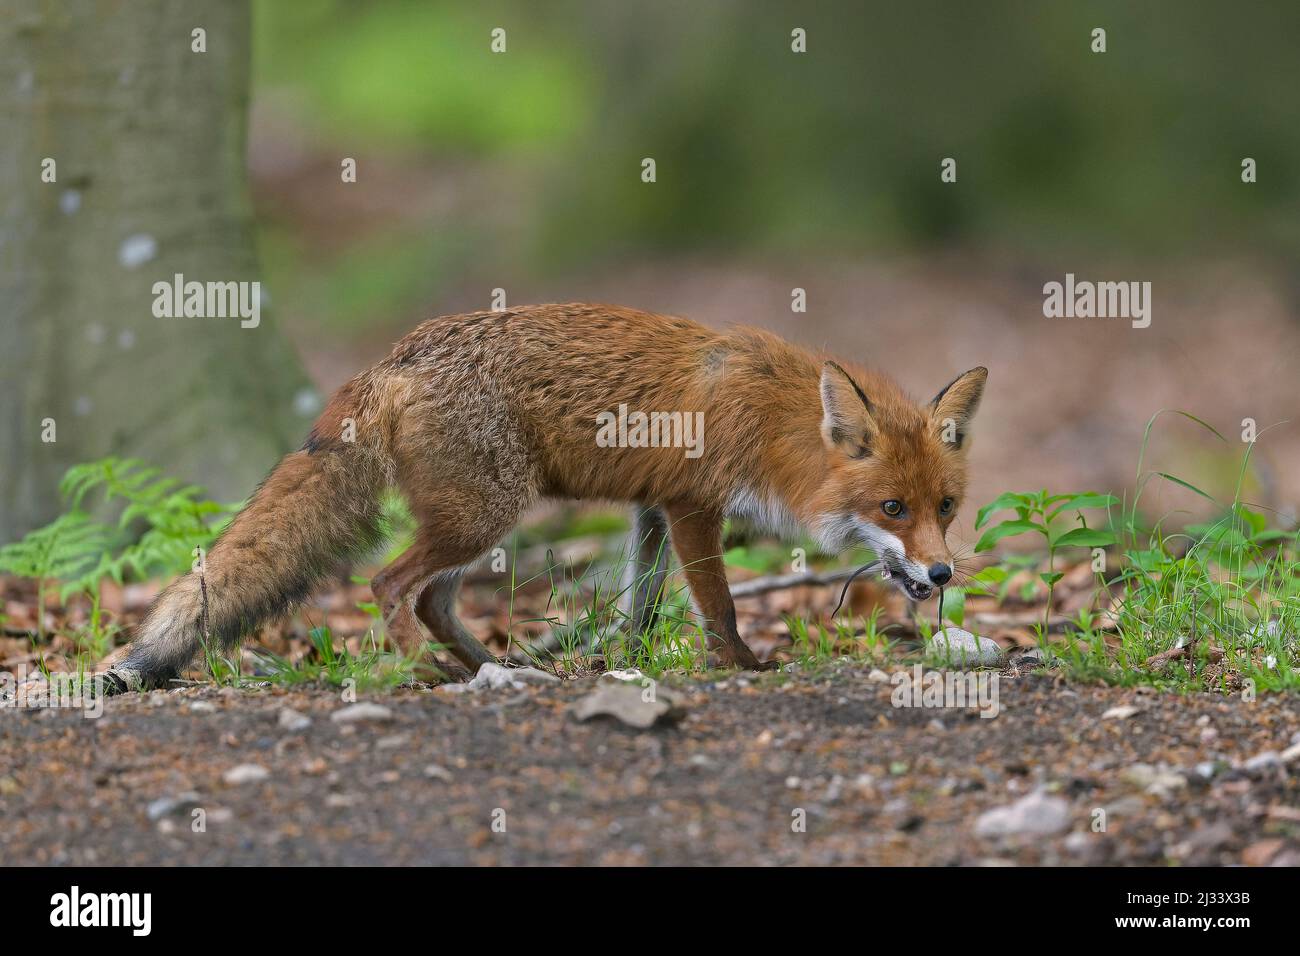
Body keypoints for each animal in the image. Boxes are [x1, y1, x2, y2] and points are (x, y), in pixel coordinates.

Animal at [103, 303, 986, 693]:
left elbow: (641, 605)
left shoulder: (650, 508)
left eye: (944, 507)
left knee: (432, 599)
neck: (774, 422)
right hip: (484, 514)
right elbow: (719, 602)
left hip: (478, 520)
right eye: (893, 510)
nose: (942, 576)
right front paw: (739, 663)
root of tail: (390, 359)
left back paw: (495, 667)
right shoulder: (693, 505)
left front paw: (624, 661)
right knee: (388, 584)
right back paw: (428, 672)